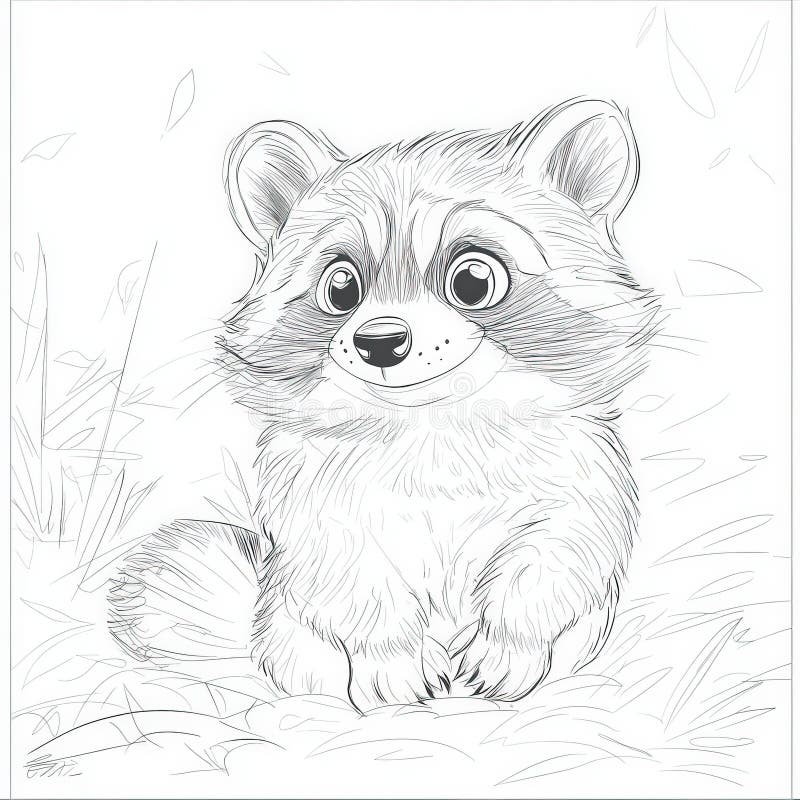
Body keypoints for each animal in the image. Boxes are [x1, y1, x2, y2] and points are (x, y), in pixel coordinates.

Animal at [109, 98, 659, 711]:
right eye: (340, 288)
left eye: (474, 279)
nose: (380, 341)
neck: (431, 430)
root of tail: (257, 632)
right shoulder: (326, 523)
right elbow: (366, 596)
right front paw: (395, 670)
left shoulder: (575, 498)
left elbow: (543, 572)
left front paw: (504, 651)